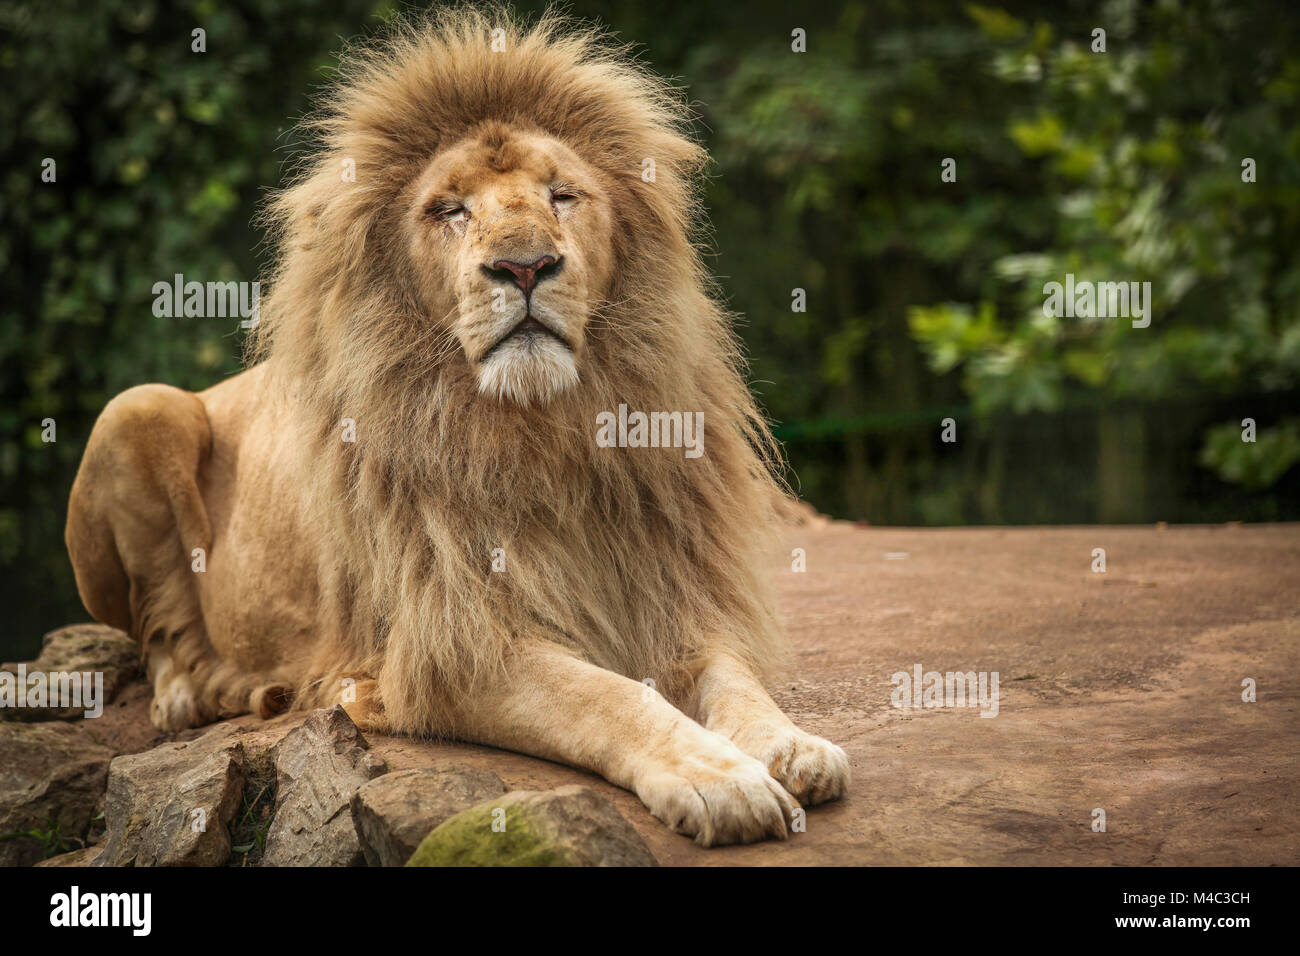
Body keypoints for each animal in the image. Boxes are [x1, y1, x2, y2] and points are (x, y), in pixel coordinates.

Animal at [64, 7, 848, 847]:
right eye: (450, 209)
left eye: (562, 195)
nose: (525, 266)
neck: (549, 433)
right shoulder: (451, 647)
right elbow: (610, 697)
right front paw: (720, 778)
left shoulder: (677, 590)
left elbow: (735, 681)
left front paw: (790, 745)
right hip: (138, 407)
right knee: (160, 644)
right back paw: (220, 692)